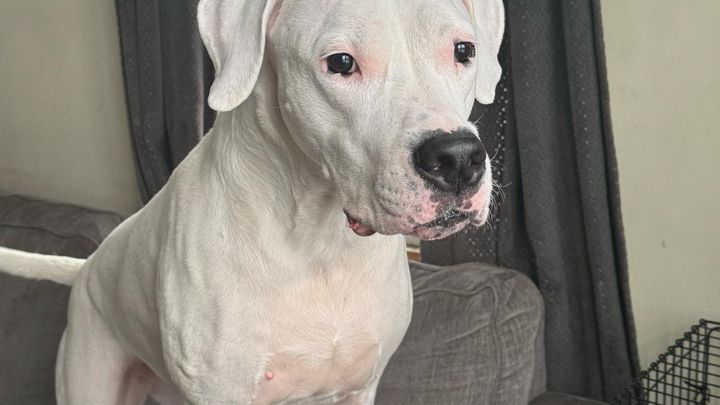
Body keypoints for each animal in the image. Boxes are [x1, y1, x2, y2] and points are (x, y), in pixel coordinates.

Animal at [0, 0, 503, 403]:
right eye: (341, 62)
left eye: (464, 51)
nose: (458, 158)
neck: (319, 242)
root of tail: (88, 265)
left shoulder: (358, 388)